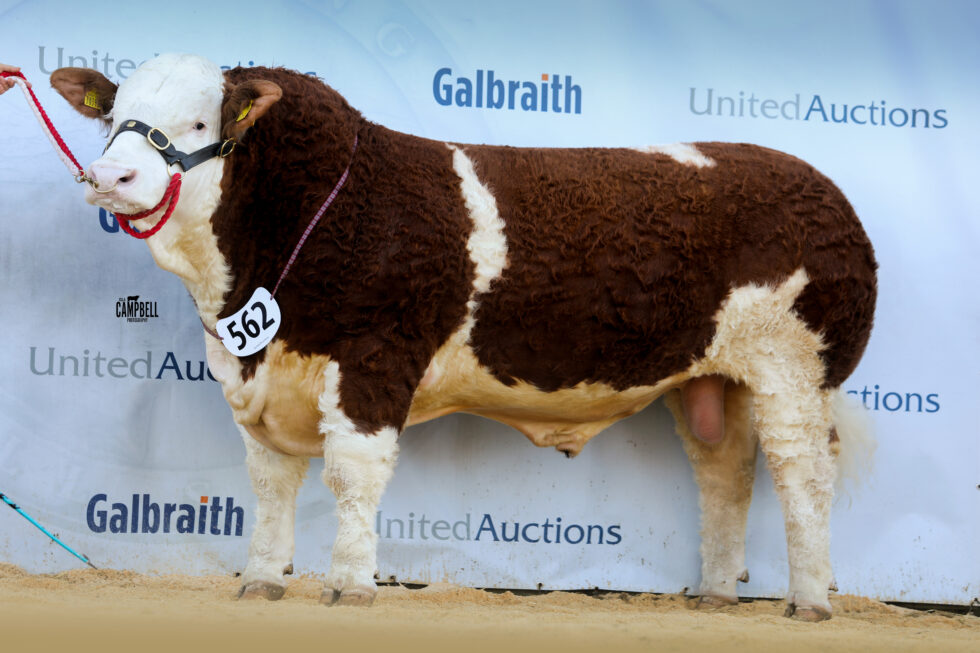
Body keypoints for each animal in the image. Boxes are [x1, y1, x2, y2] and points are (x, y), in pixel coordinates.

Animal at [48, 53, 877, 621]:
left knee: (802, 474)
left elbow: (351, 473)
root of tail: (821, 187)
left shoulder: (376, 356)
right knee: (725, 473)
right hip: (713, 378)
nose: (109, 177)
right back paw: (713, 593)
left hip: (793, 368)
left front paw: (350, 583)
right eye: (112, 115)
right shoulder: (258, 369)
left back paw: (810, 599)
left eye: (199, 123)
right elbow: (270, 480)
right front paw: (261, 579)